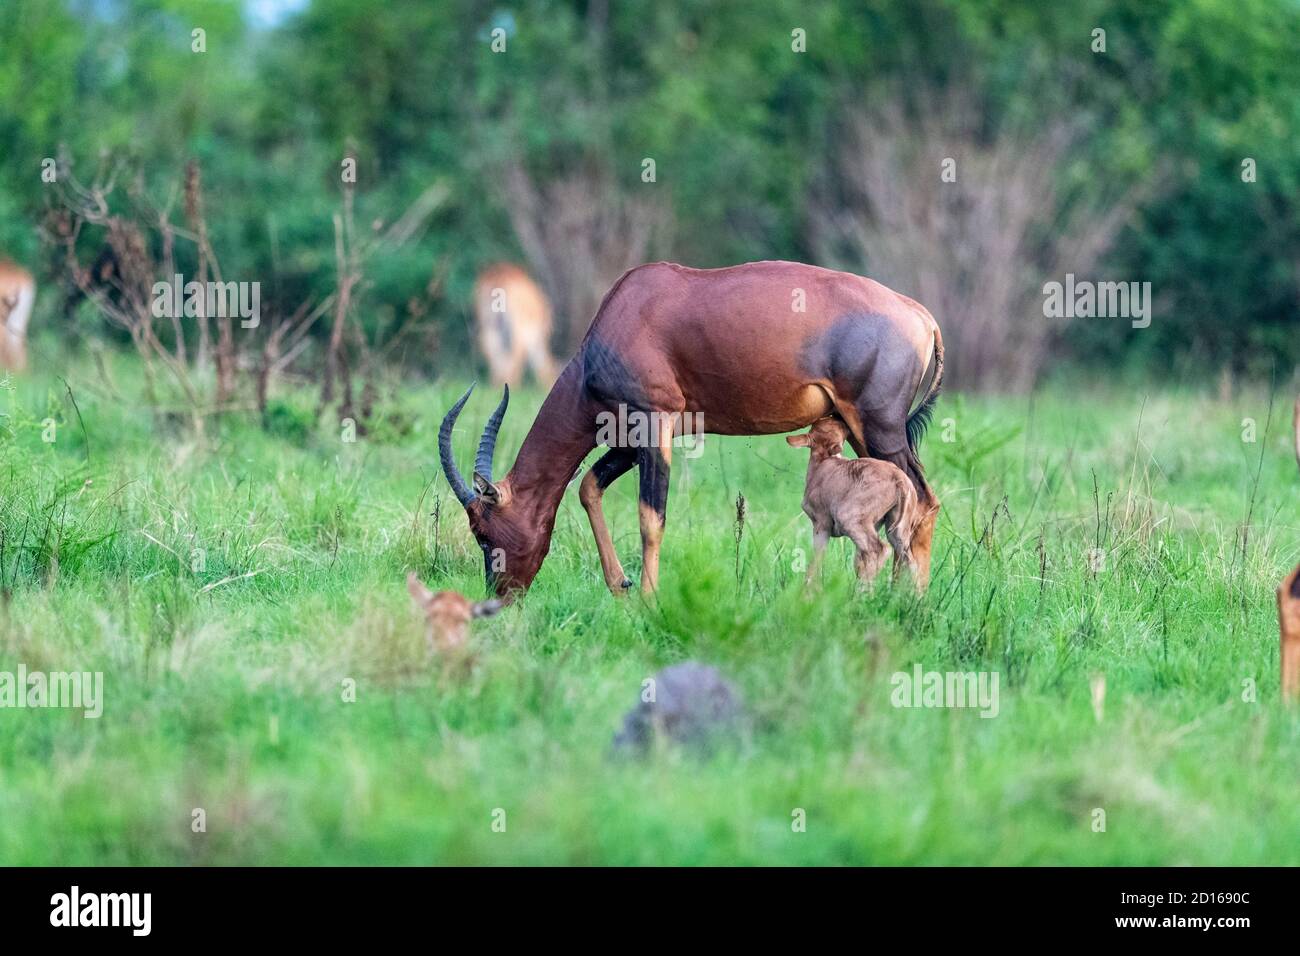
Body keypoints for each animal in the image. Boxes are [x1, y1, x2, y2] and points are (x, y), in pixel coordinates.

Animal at [787, 417, 938, 590]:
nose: (837, 418)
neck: (823, 462)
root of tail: (899, 479)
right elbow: (858, 561)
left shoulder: (821, 523)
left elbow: (817, 558)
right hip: (898, 528)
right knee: (909, 560)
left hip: (850, 519)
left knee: (879, 549)